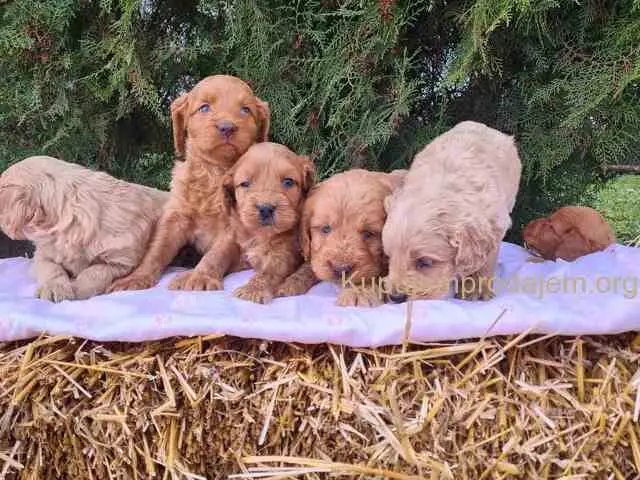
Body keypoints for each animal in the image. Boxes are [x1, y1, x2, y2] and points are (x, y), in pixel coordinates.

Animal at [110, 75, 270, 292]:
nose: (227, 127)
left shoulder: (233, 226)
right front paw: (137, 277)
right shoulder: (176, 216)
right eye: (204, 108)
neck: (214, 173)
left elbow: (216, 254)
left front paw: (199, 276)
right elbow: (157, 249)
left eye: (246, 110)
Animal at [224, 142, 316, 304]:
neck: (264, 235)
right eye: (245, 184)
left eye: (288, 182)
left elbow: (269, 271)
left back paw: (290, 286)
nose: (266, 209)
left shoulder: (286, 253)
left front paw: (253, 290)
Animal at [278, 169, 408, 308]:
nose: (341, 270)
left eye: (368, 233)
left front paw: (358, 292)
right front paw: (290, 284)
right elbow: (310, 266)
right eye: (325, 229)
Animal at [382, 120, 524, 302]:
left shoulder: (495, 226)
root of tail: (481, 125)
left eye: (425, 262)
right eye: (388, 257)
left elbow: (484, 265)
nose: (396, 297)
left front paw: (475, 290)